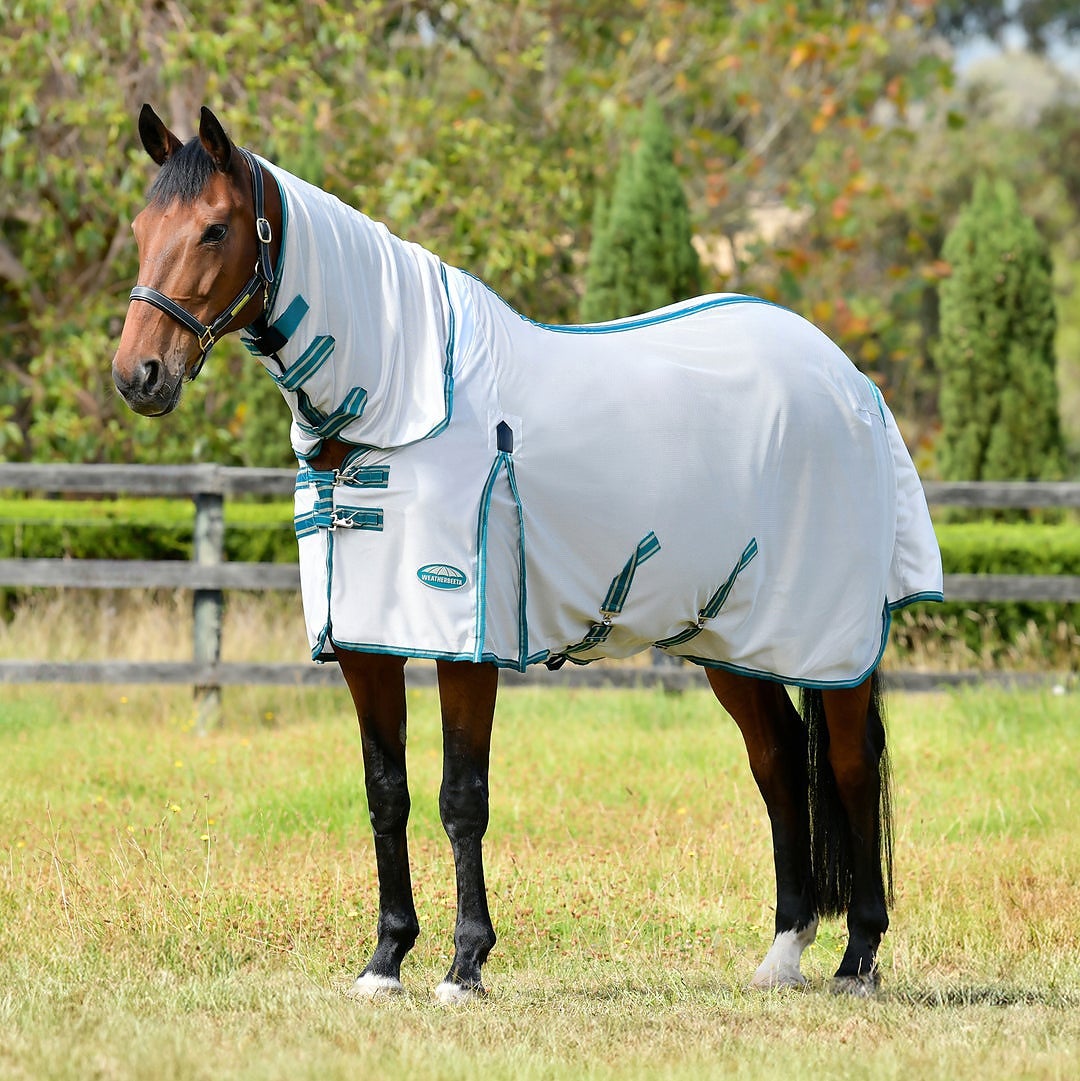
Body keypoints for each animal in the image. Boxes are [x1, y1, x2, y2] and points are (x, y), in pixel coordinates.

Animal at [112, 105, 943, 1003]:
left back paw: (858, 959)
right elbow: (386, 793)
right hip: (731, 638)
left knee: (852, 766)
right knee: (779, 761)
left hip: (833, 646)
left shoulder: (464, 643)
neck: (403, 402)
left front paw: (465, 964)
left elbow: (460, 796)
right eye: (141, 229)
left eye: (213, 229)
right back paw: (783, 953)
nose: (138, 375)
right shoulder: (370, 644)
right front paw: (385, 960)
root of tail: (851, 382)